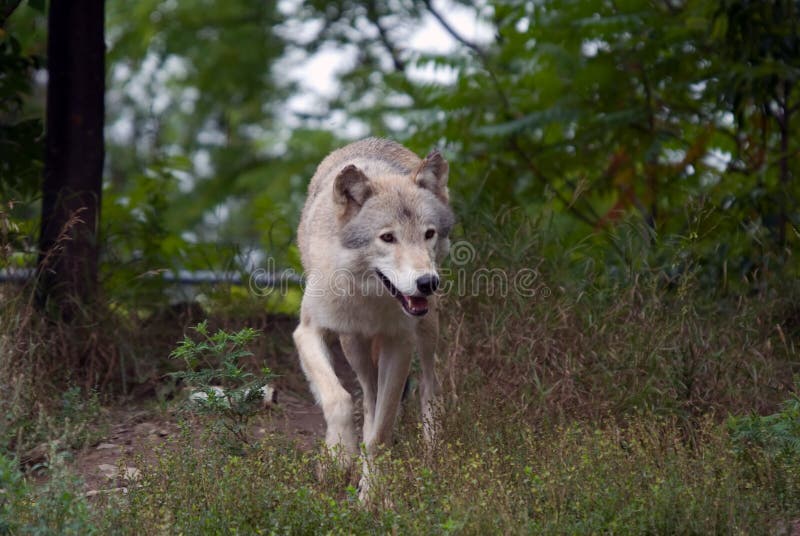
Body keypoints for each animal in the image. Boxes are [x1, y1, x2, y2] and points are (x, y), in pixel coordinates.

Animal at [293, 138, 454, 498]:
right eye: (387, 237)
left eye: (429, 234)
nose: (427, 282)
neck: (370, 297)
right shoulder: (307, 331)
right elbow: (338, 399)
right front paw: (339, 458)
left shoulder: (400, 344)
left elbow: (381, 432)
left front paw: (372, 497)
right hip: (353, 345)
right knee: (366, 395)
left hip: (427, 330)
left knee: (429, 386)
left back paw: (433, 455)